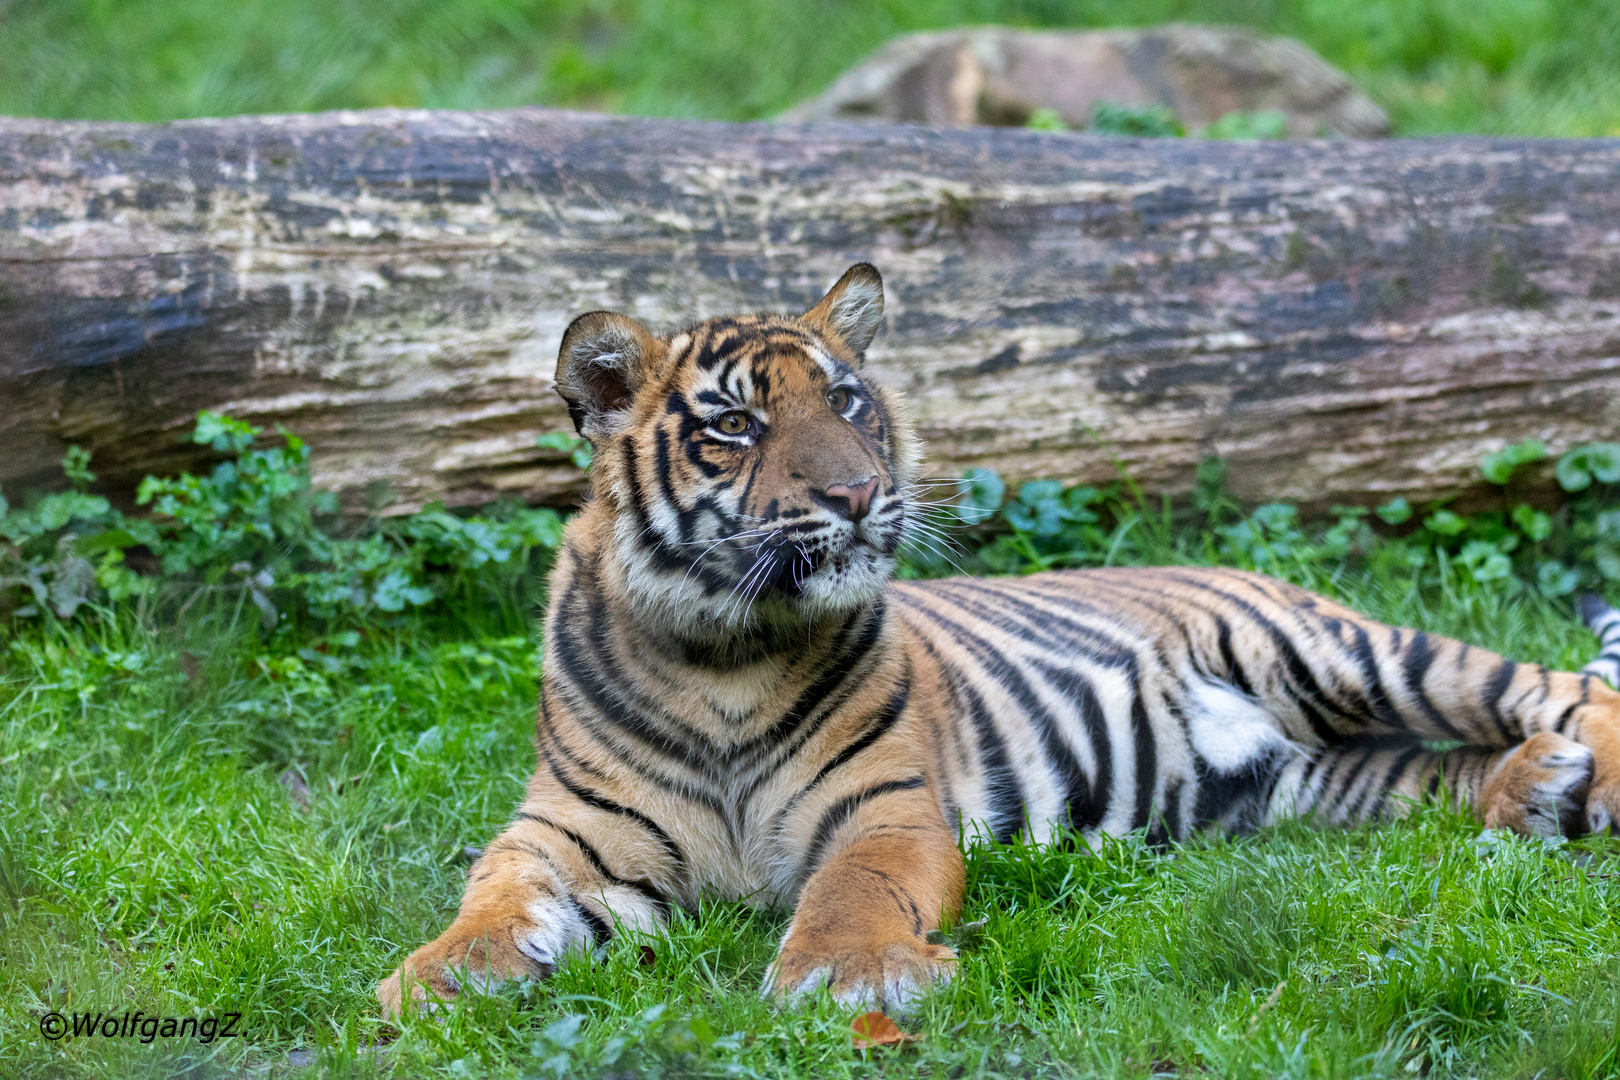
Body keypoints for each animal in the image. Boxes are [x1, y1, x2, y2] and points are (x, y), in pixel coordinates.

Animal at [377, 263, 1620, 1018]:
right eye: (733, 423)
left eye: (849, 401)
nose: (861, 492)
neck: (720, 655)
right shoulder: (562, 833)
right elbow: (490, 894)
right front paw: (430, 982)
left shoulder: (881, 811)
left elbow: (853, 894)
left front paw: (855, 979)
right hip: (1305, 785)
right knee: (1427, 772)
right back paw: (1532, 791)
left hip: (1330, 650)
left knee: (1548, 683)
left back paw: (1588, 776)